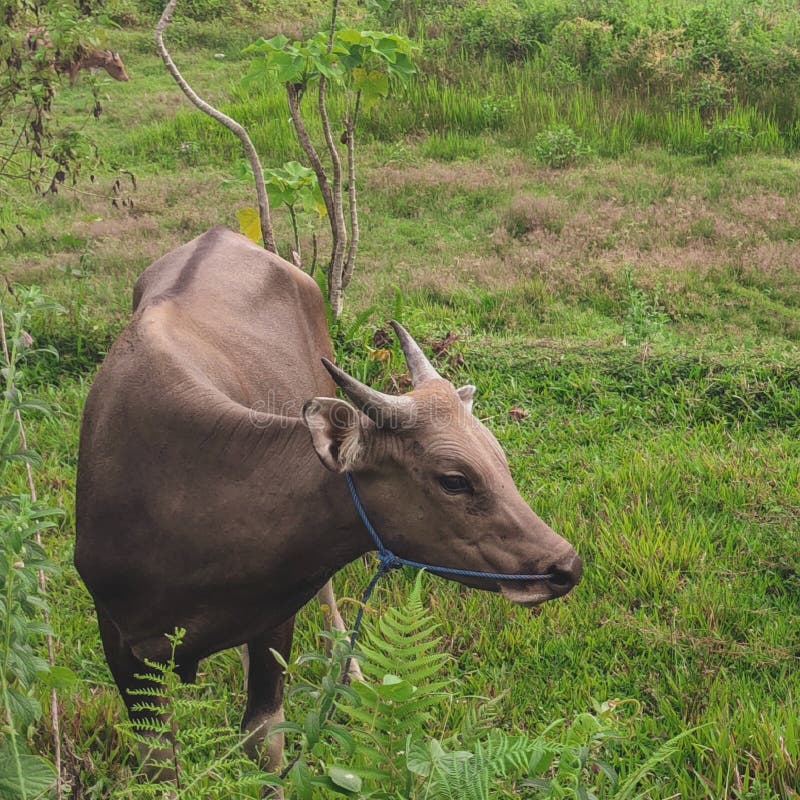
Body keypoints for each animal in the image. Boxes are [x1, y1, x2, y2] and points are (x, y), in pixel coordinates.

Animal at [74, 225, 582, 776]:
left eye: (499, 458)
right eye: (454, 479)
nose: (565, 566)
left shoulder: (275, 614)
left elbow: (264, 739)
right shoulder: (119, 641)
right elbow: (159, 761)